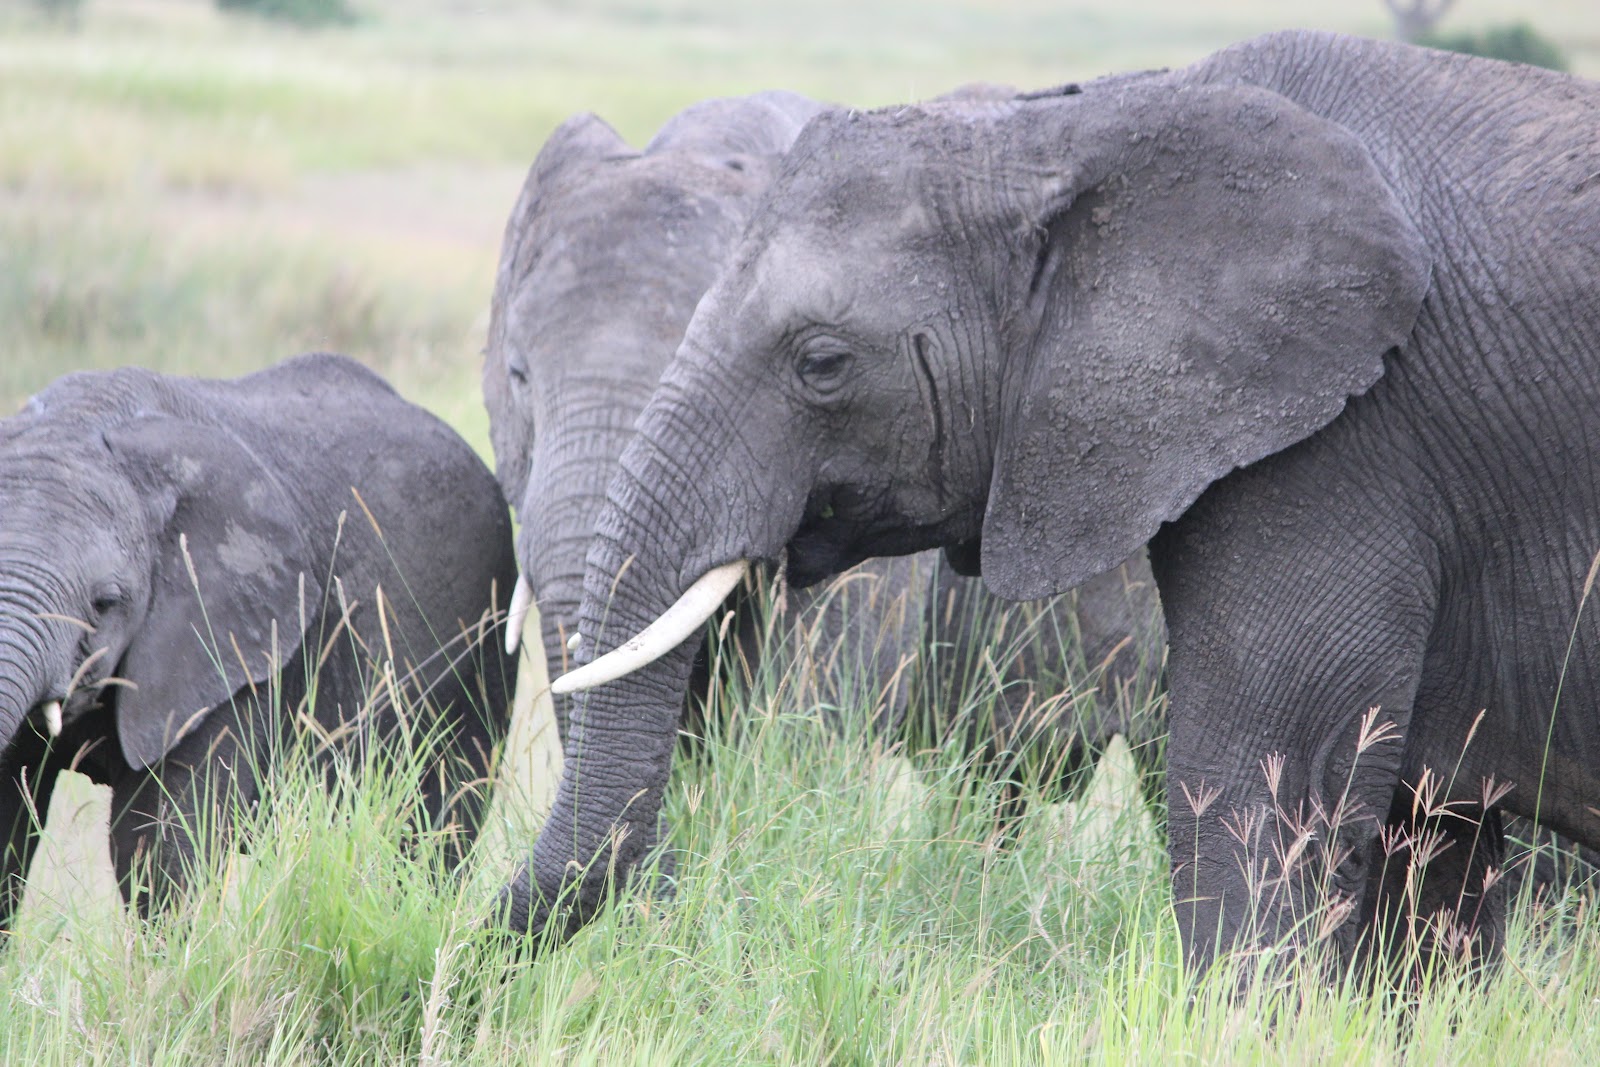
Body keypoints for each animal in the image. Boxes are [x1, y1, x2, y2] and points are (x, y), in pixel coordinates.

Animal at [498, 29, 1600, 980]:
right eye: (511, 377)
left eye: (822, 363)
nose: (473, 957)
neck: (1076, 130)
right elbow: (1427, 869)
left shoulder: (1344, 440)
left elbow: (1267, 800)